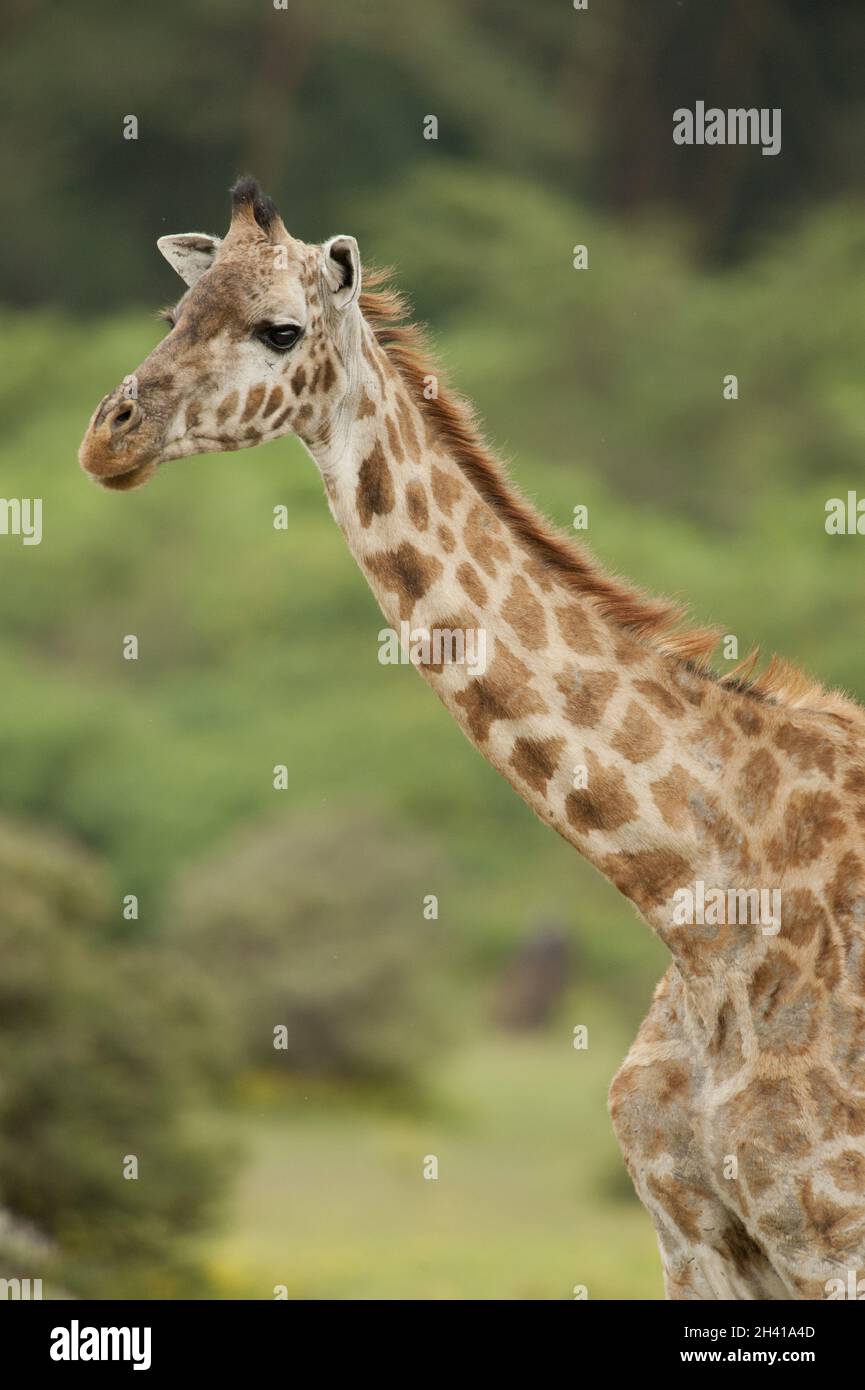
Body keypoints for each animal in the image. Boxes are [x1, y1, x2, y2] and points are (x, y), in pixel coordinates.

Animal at [79, 179, 865, 1301]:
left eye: (281, 330)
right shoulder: (695, 1242)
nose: (110, 436)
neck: (697, 900)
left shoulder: (829, 1232)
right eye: (172, 315)